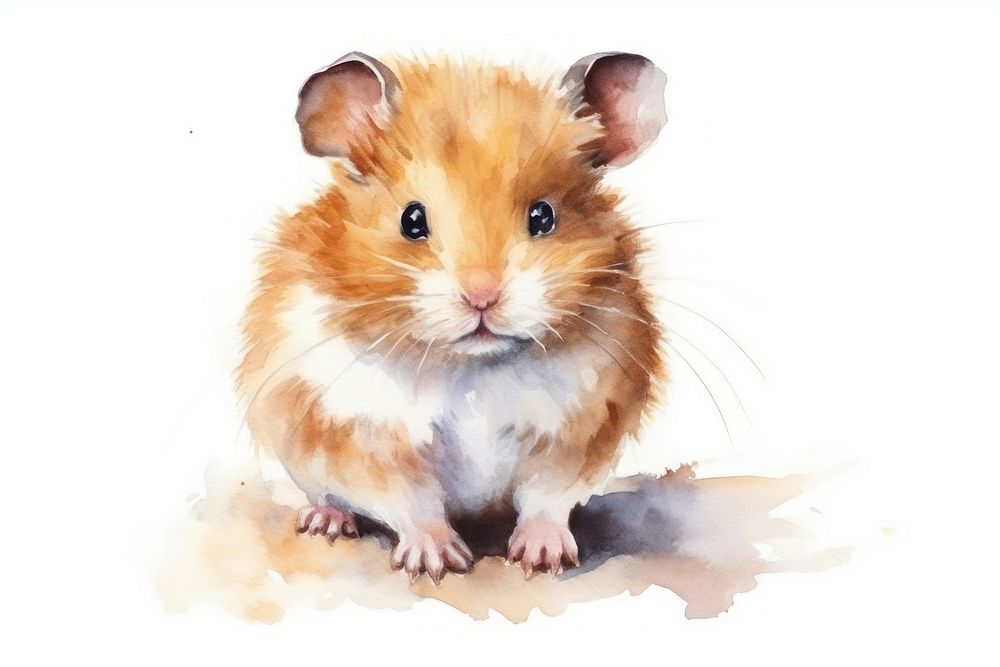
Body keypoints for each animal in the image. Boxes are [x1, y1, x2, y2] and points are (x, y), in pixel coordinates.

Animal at [238, 51, 668, 582]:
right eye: (411, 220)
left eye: (543, 216)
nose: (482, 298)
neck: (471, 365)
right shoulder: (367, 437)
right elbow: (413, 503)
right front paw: (437, 564)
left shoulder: (576, 431)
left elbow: (546, 499)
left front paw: (542, 559)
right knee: (328, 496)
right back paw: (326, 523)